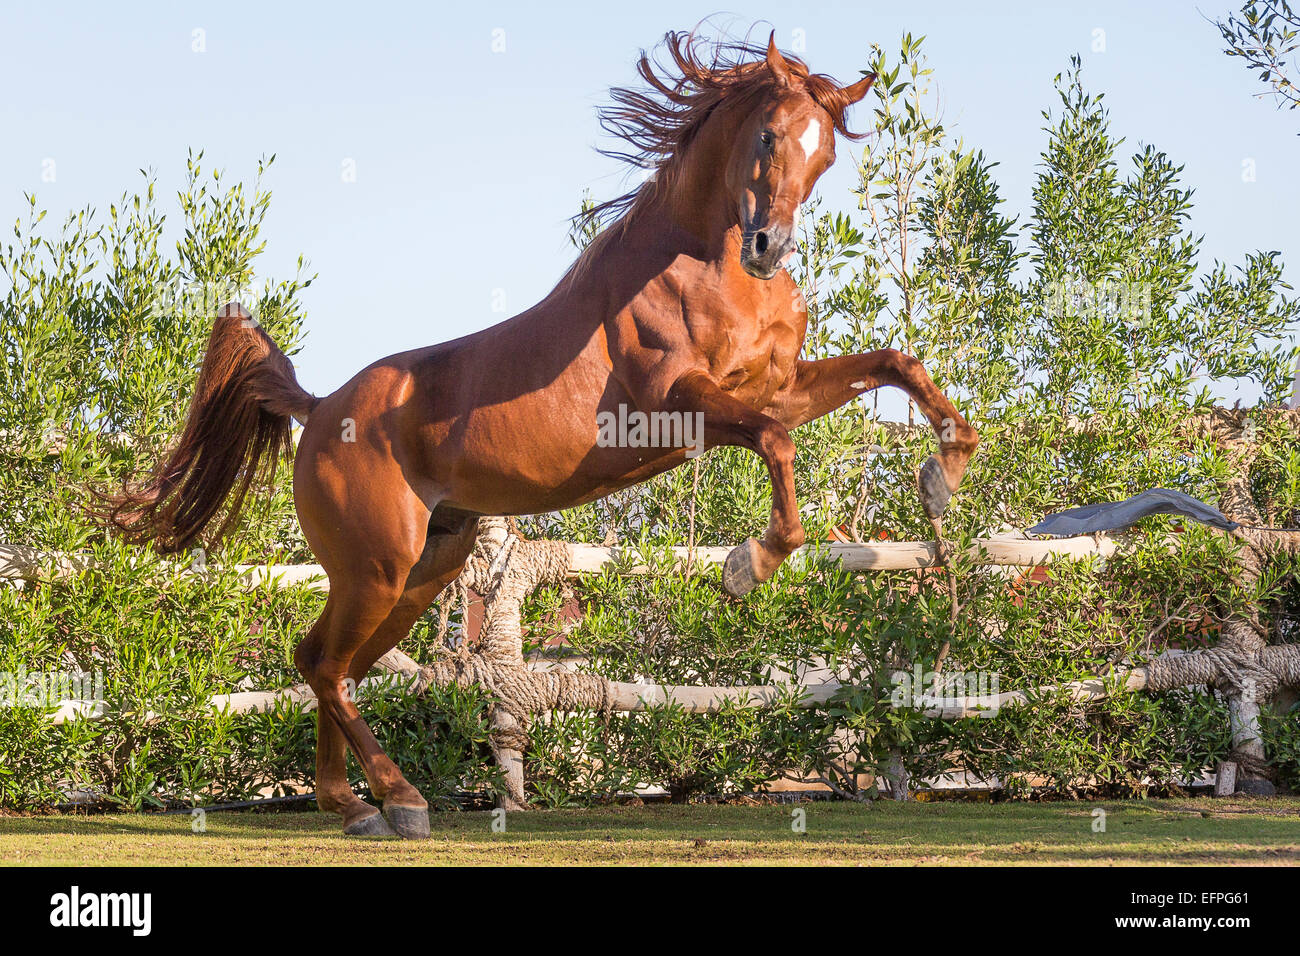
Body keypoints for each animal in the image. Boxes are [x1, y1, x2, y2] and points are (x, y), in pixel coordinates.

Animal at [102, 31, 979, 838]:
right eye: (768, 136)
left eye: (825, 154)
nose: (769, 250)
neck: (705, 269)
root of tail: (317, 408)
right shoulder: (683, 404)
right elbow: (777, 444)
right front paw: (747, 565)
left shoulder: (780, 388)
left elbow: (892, 364)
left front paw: (945, 475)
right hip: (376, 569)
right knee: (320, 662)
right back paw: (399, 801)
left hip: (418, 572)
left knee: (330, 664)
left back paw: (354, 807)